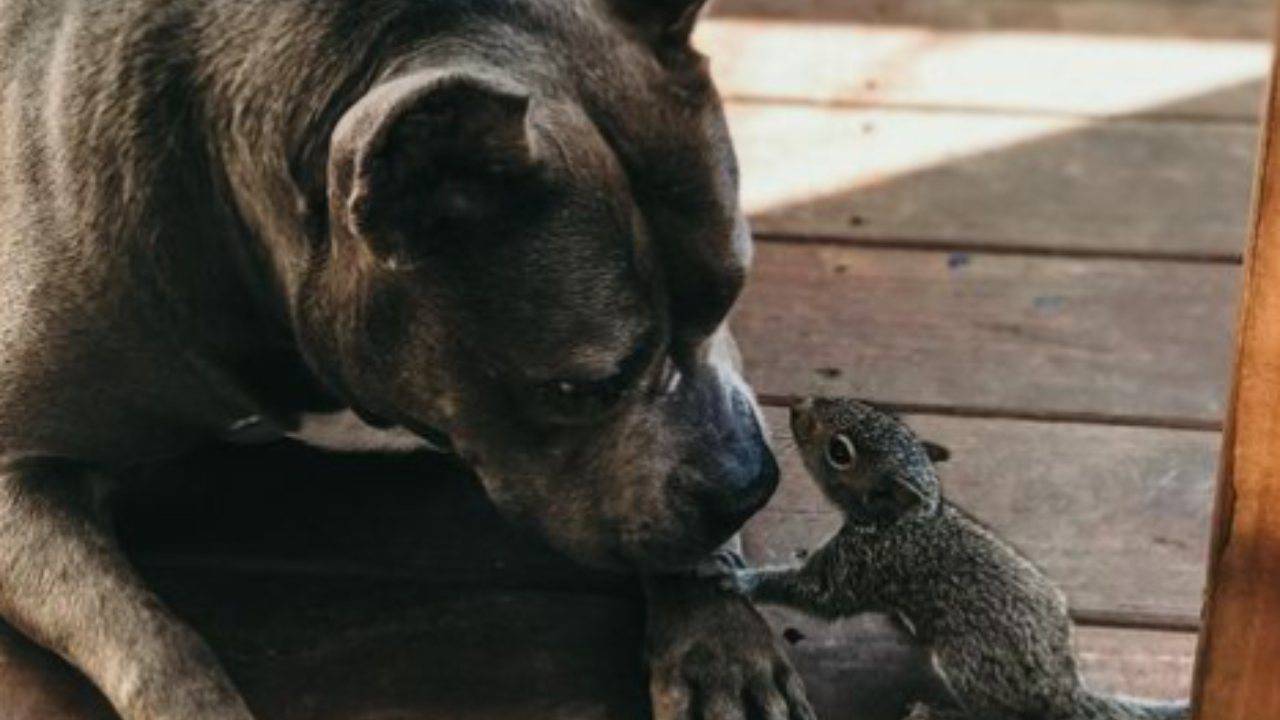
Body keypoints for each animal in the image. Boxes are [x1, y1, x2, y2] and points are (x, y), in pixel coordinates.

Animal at [729, 397, 1189, 720]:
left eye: (840, 452)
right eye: (880, 410)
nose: (798, 406)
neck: (904, 519)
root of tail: (1061, 688)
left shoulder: (863, 565)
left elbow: (816, 594)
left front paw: (743, 580)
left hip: (970, 664)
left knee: (998, 714)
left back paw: (937, 711)